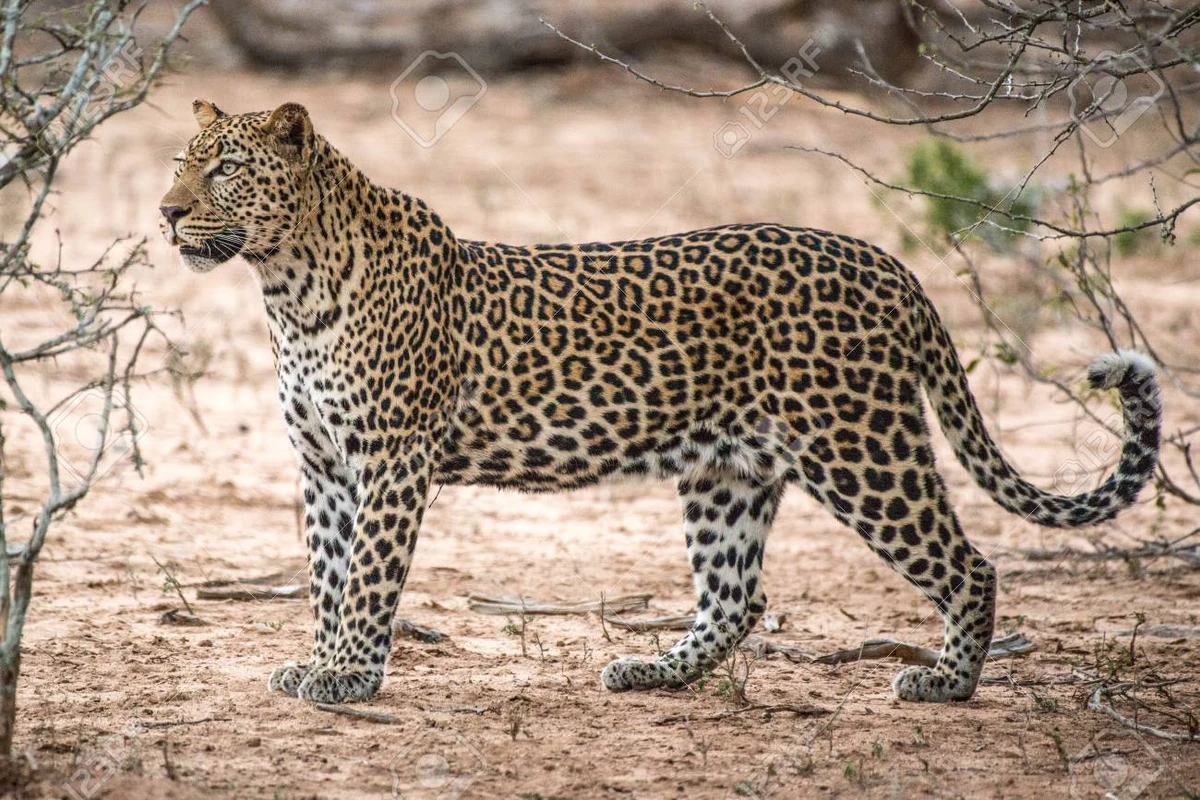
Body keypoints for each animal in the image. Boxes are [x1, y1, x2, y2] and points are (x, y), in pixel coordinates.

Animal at [159, 100, 1162, 706]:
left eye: (225, 170)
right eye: (180, 162)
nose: (165, 213)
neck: (288, 284)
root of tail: (887, 264)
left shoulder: (392, 459)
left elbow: (368, 573)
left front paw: (348, 679)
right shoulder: (324, 463)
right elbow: (327, 574)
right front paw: (320, 661)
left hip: (859, 446)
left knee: (968, 565)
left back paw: (946, 684)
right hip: (730, 469)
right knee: (738, 596)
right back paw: (654, 670)